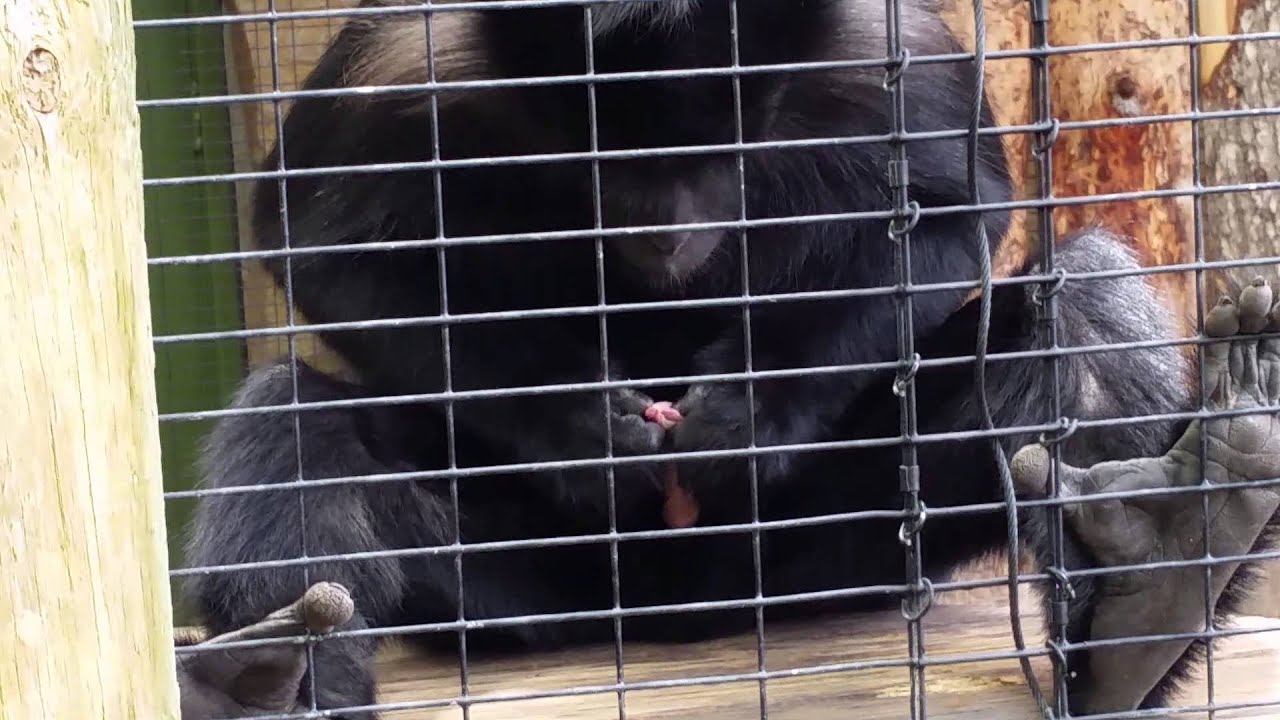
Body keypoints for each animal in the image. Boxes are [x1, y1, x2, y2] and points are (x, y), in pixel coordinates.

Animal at [182, 1, 1280, 717]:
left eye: (719, 142)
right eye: (609, 153)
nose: (661, 225)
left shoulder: (874, 41)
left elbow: (957, 208)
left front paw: (750, 411)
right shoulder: (415, 53)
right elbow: (313, 241)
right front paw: (576, 425)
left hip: (833, 548)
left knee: (1077, 291)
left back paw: (1152, 592)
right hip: (529, 578)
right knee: (292, 410)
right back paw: (263, 688)